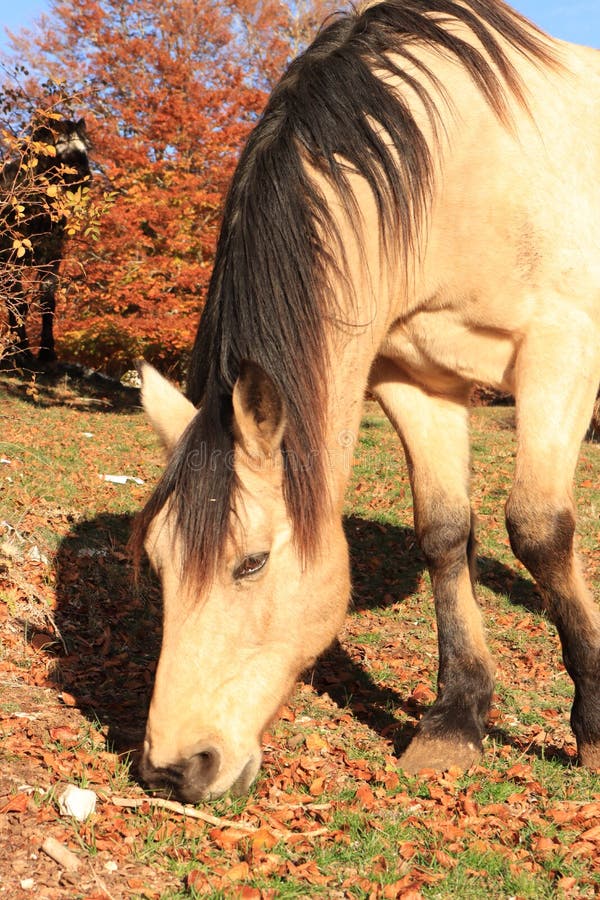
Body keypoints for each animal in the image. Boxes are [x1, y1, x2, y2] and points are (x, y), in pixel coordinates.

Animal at [0, 117, 91, 366]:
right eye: (59, 148)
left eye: (85, 149)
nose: (85, 180)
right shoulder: (11, 258)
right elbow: (18, 302)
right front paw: (20, 350)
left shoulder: (51, 257)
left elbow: (47, 302)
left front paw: (47, 350)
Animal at [132, 0, 600, 802]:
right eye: (158, 562)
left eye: (251, 563)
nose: (173, 768)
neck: (462, 166)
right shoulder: (415, 378)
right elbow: (444, 533)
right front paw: (454, 721)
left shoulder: (562, 352)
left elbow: (540, 528)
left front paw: (596, 727)